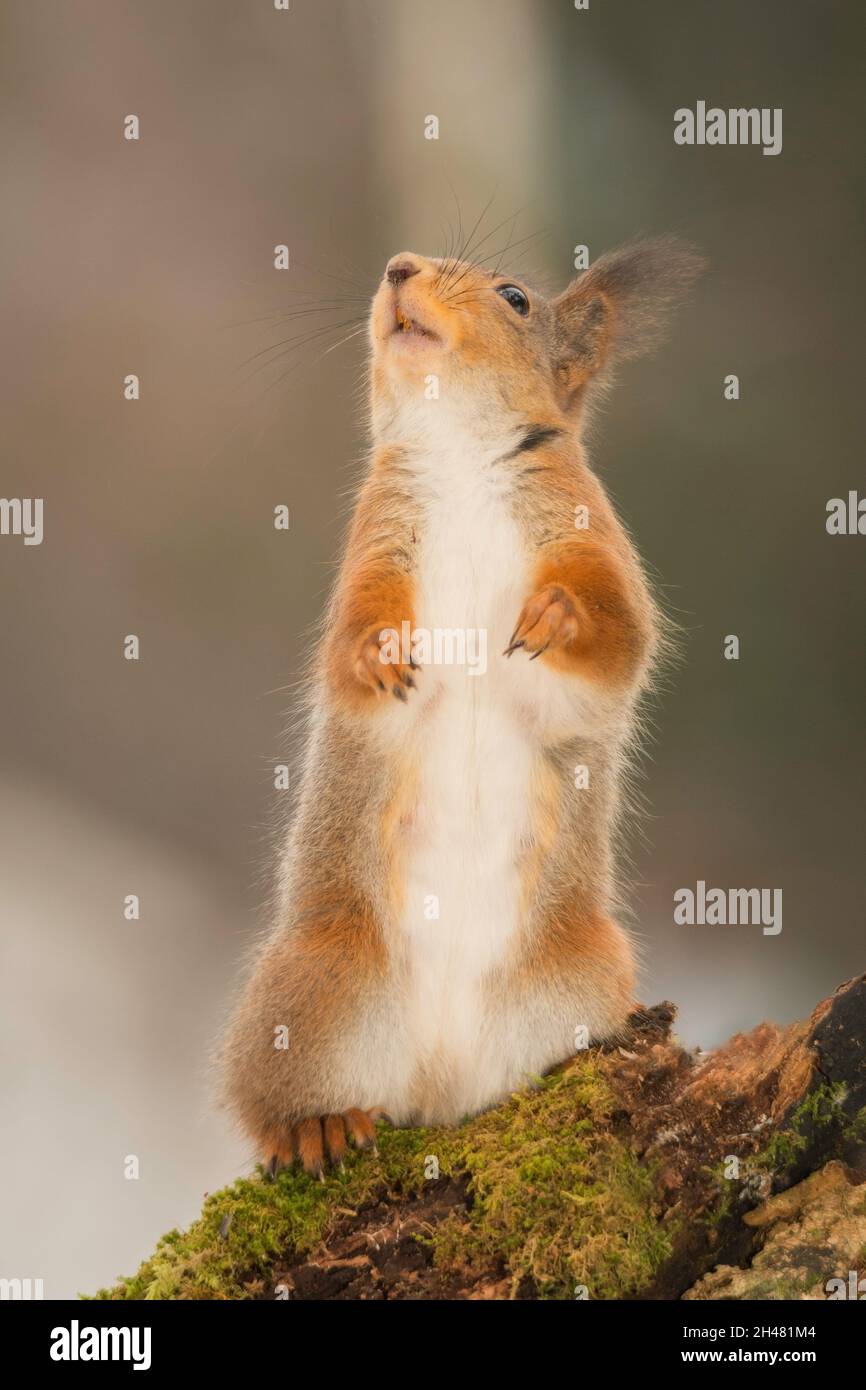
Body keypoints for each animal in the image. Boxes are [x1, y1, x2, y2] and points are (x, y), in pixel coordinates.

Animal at [221, 236, 702, 1177]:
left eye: (515, 297)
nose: (398, 268)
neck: (459, 454)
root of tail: (442, 1088)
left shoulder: (593, 537)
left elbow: (618, 640)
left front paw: (558, 618)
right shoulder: (375, 545)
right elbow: (348, 646)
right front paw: (379, 657)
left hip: (582, 976)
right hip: (309, 991)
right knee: (270, 1100)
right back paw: (315, 1127)